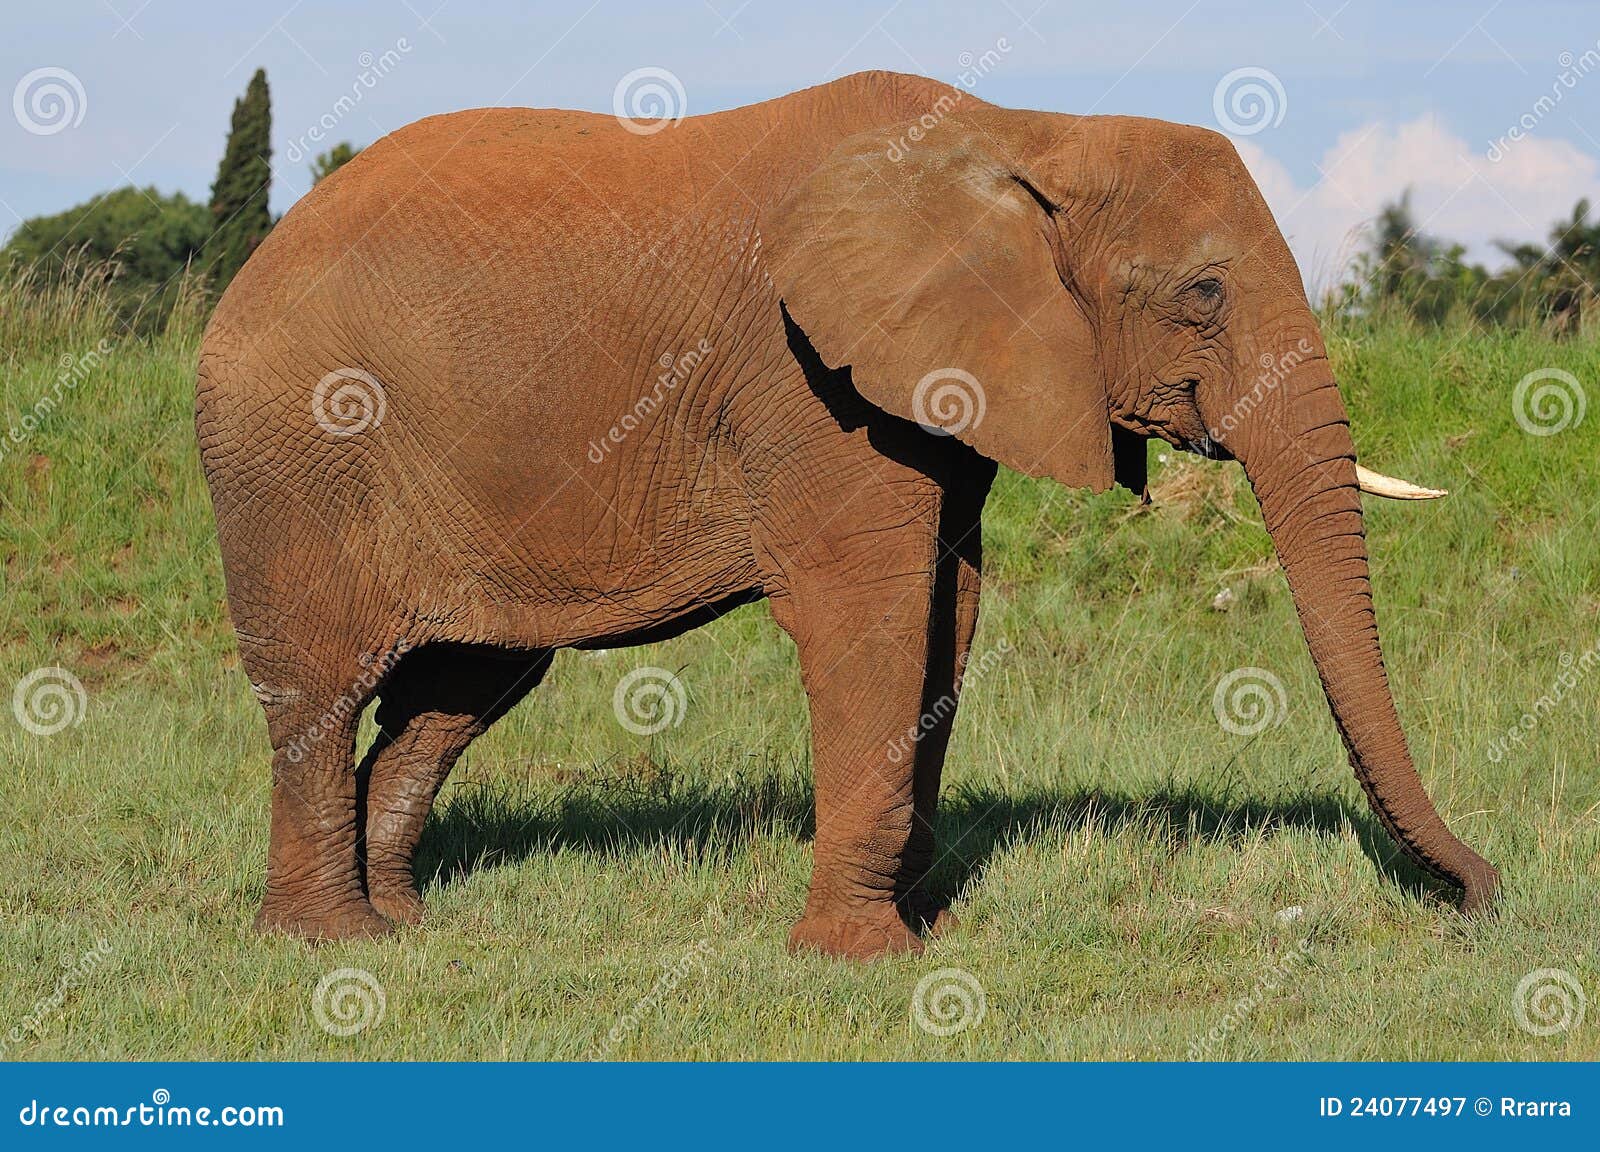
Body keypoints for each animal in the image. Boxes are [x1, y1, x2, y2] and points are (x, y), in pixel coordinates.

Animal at [195, 70, 1498, 958]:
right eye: (1205, 292)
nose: (1481, 897)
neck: (1023, 131)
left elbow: (948, 613)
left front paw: (920, 915)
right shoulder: (809, 380)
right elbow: (867, 610)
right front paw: (863, 958)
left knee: (458, 689)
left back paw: (405, 924)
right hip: (294, 456)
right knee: (320, 689)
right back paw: (328, 943)